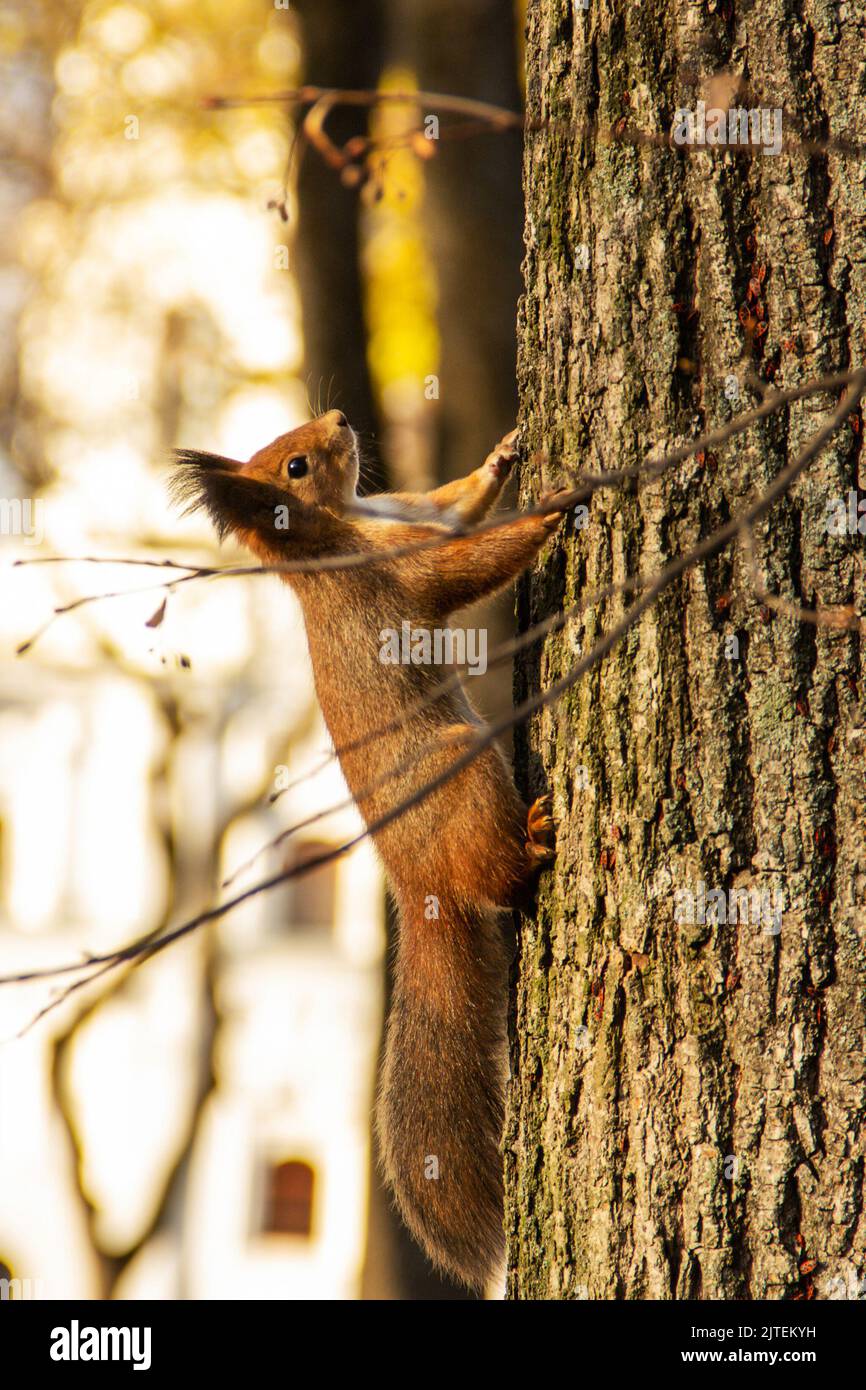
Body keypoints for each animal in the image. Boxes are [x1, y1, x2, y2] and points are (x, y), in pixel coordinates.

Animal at [173, 410, 565, 1291]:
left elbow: (456, 503)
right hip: (462, 769)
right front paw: (553, 514)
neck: (343, 528)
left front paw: (504, 459)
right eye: (295, 464)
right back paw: (531, 845)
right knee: (499, 877)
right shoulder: (398, 574)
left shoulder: (409, 510)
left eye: (295, 441)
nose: (341, 419)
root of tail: (419, 886)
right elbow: (463, 565)